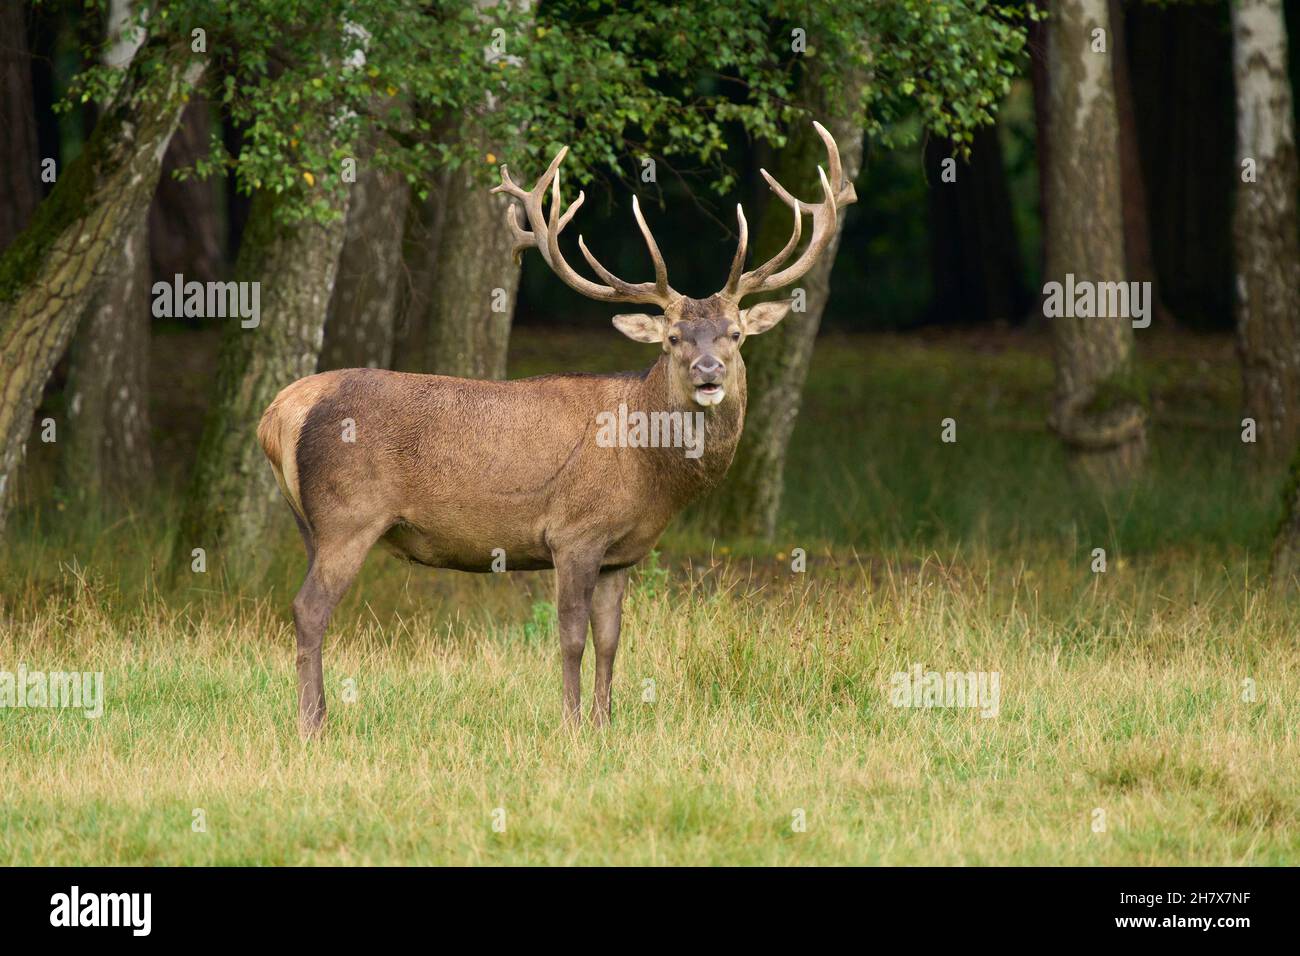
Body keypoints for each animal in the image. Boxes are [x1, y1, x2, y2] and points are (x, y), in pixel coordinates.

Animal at [258, 121, 856, 735]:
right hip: (348, 515)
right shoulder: (574, 532)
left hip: (310, 524)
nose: (709, 373)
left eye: (735, 334)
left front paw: (605, 723)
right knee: (308, 609)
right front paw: (570, 725)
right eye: (672, 339)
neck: (651, 471)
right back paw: (313, 725)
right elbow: (570, 637)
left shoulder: (622, 551)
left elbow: (611, 640)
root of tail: (281, 410)